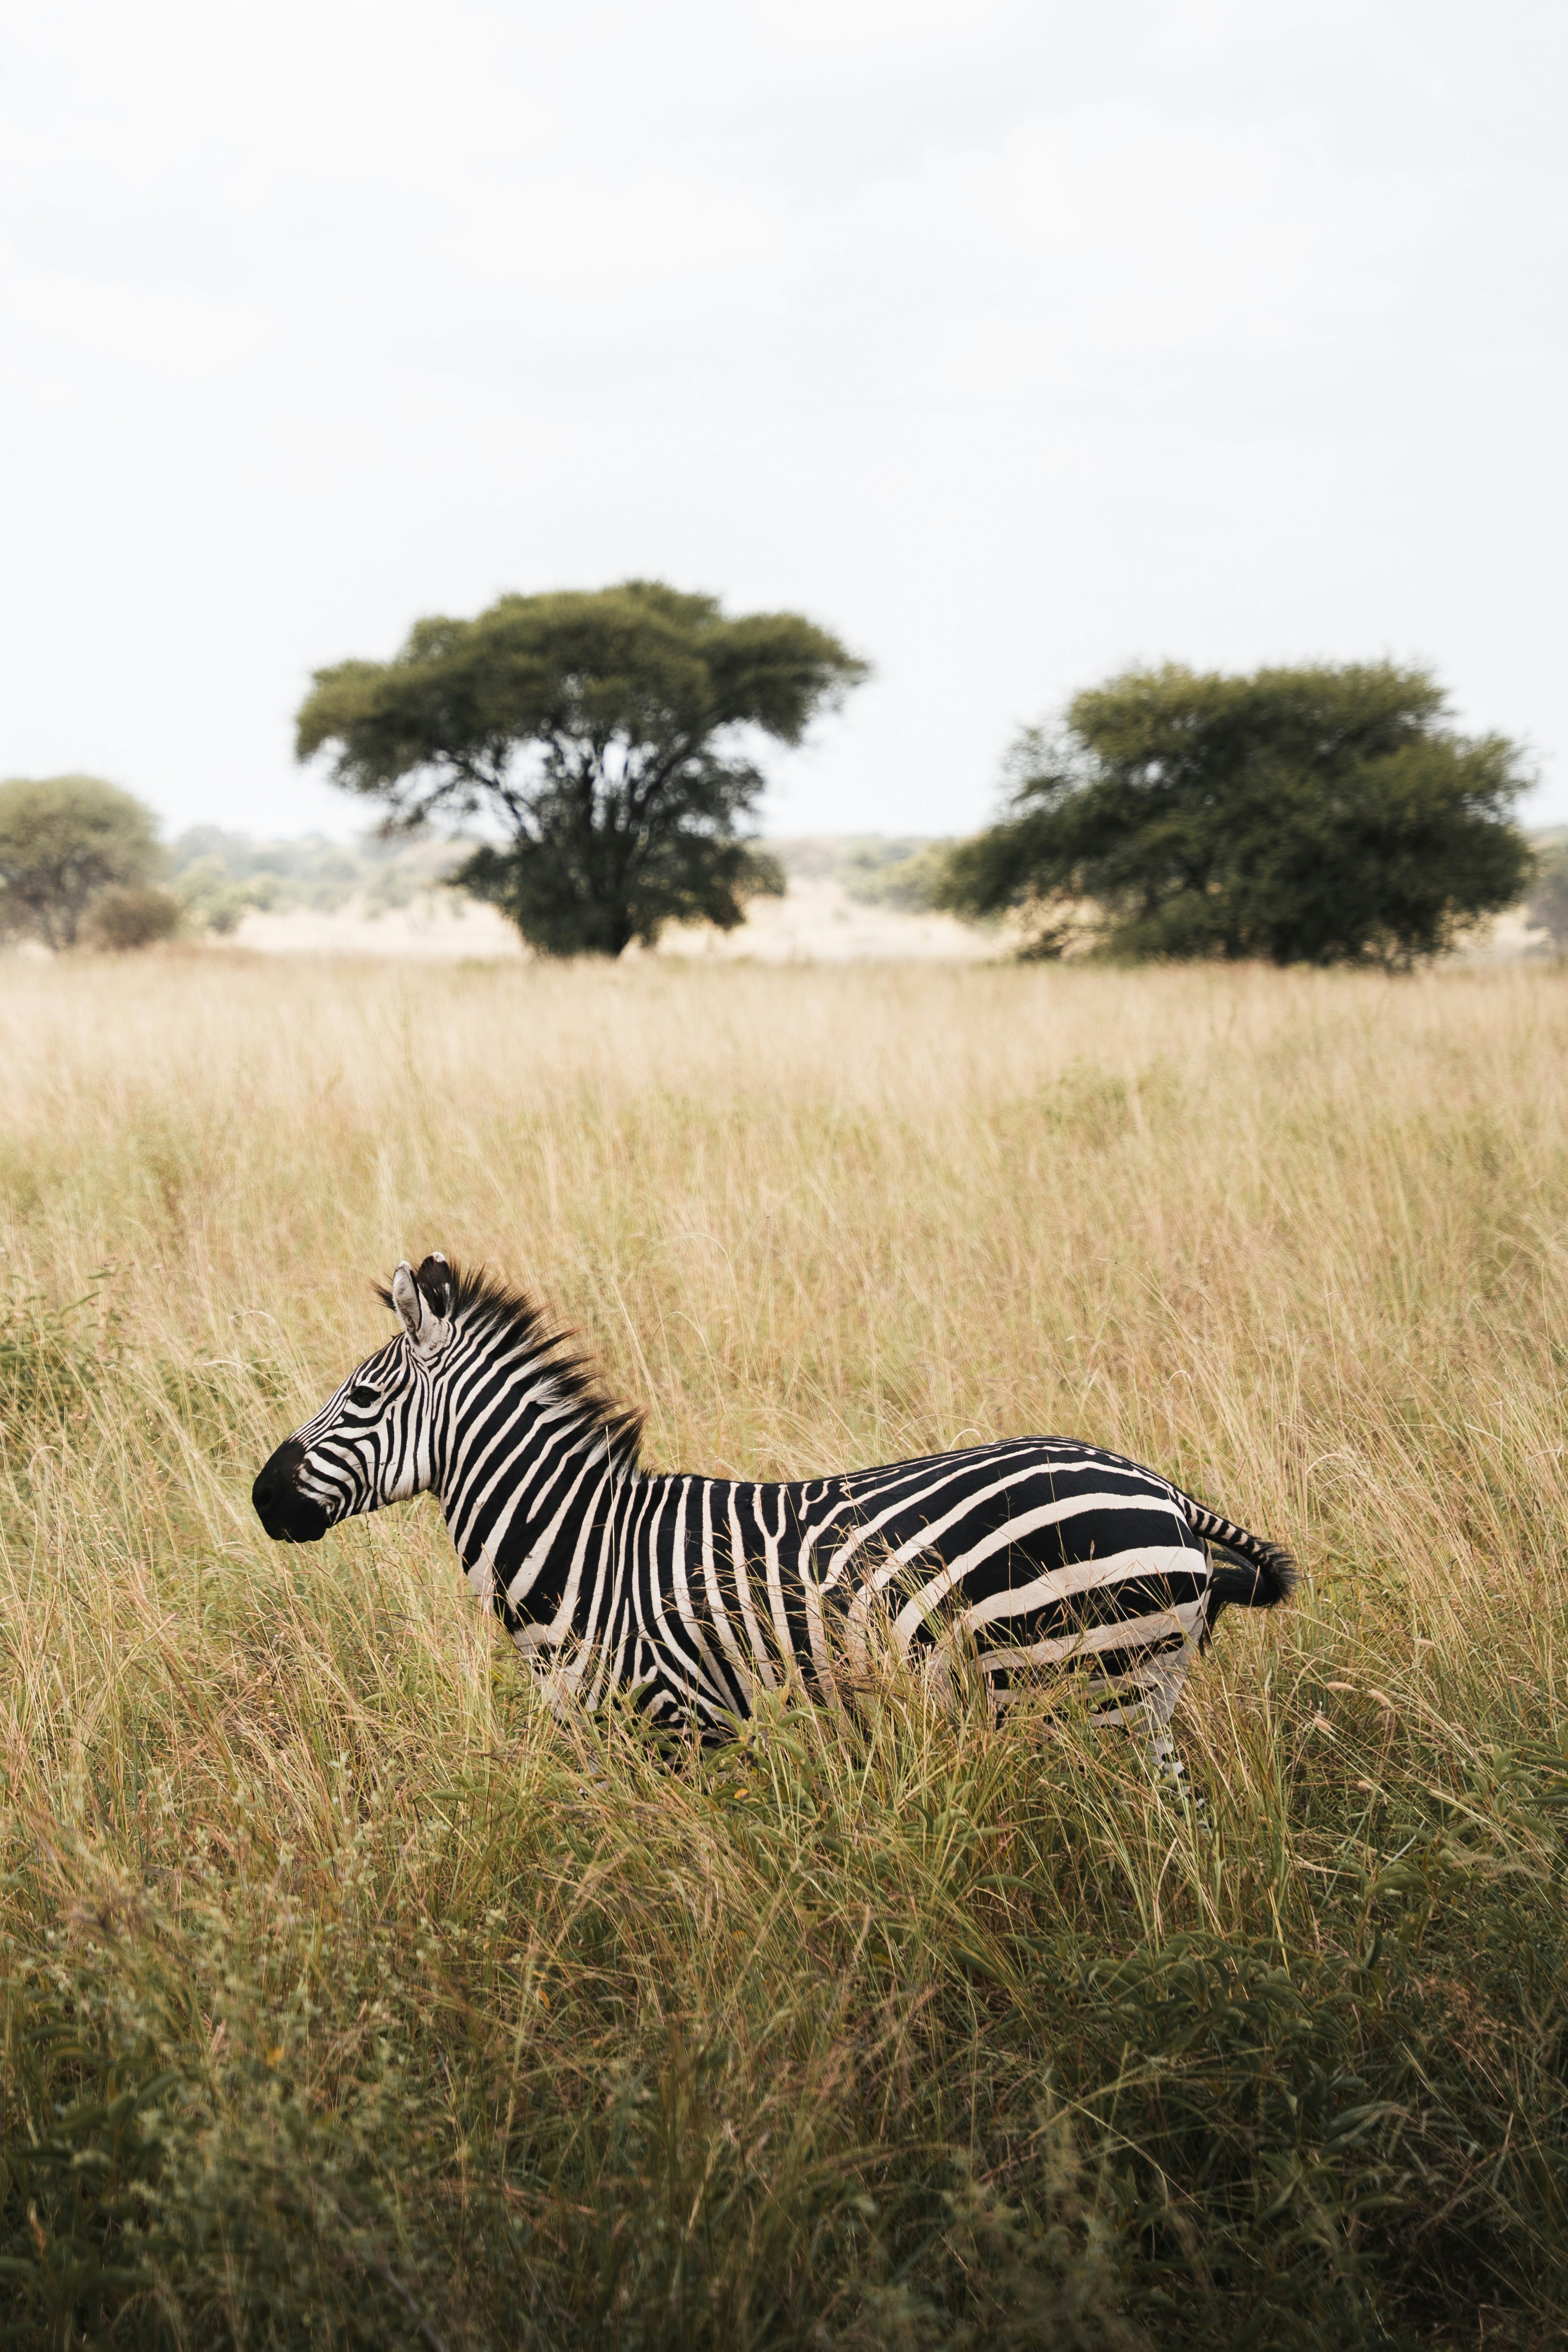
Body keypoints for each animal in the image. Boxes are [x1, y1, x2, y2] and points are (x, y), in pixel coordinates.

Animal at [252, 1255, 1295, 1777]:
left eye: (360, 1399)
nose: (262, 1498)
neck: (582, 1547)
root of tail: (1159, 1486)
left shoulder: (686, 1727)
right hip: (1135, 1699)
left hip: (1083, 1689)